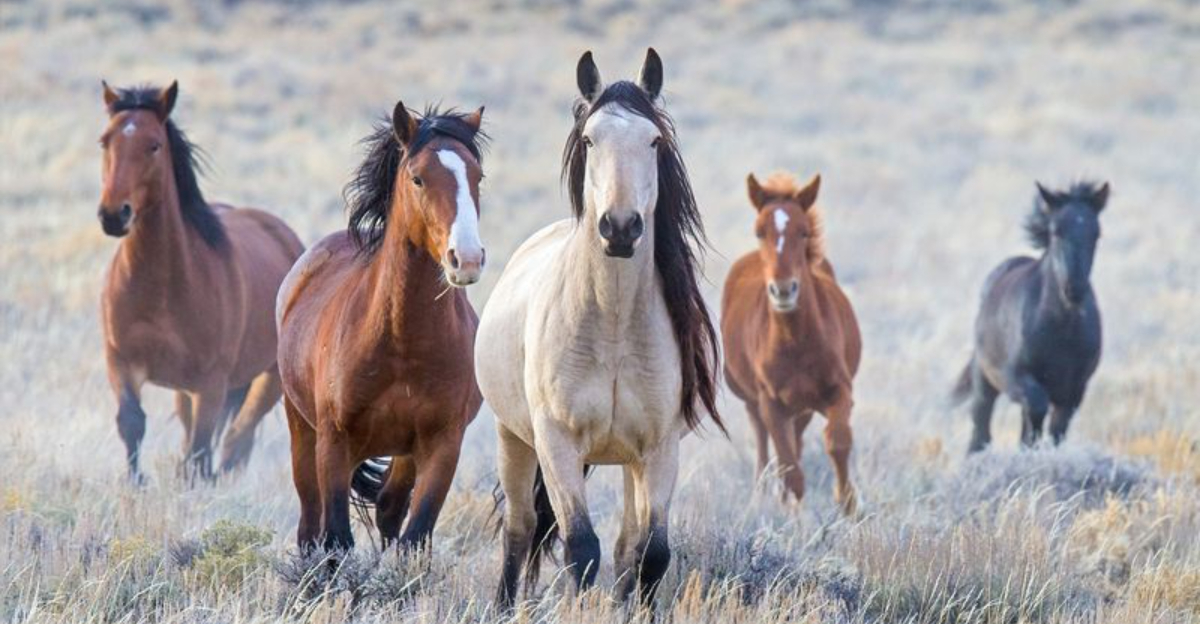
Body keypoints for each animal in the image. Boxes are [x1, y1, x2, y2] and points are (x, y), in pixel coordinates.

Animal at [97, 81, 304, 482]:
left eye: (154, 145)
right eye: (105, 141)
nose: (114, 215)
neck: (161, 288)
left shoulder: (211, 384)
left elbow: (200, 451)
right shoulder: (121, 361)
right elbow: (132, 422)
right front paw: (136, 483)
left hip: (268, 379)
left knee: (237, 438)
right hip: (186, 389)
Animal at [276, 101, 487, 553]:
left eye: (477, 176)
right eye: (418, 177)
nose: (466, 258)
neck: (402, 342)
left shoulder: (441, 446)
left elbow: (414, 536)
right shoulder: (334, 442)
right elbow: (337, 538)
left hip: (403, 455)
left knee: (390, 510)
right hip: (302, 430)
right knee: (310, 521)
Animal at [475, 49, 722, 608]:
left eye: (654, 140)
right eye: (590, 139)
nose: (621, 227)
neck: (611, 326)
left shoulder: (659, 449)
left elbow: (650, 554)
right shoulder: (557, 443)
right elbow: (580, 547)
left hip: (629, 463)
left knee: (628, 544)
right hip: (512, 439)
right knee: (520, 529)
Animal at [721, 173, 861, 515]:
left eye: (804, 231)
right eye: (759, 231)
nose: (784, 290)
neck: (796, 342)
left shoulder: (839, 390)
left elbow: (838, 441)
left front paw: (848, 504)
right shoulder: (771, 403)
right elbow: (788, 467)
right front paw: (796, 516)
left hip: (803, 406)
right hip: (754, 399)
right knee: (762, 438)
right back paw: (762, 491)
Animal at [953, 181, 1109, 453]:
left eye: (1096, 234)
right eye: (1056, 231)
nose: (1074, 288)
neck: (1062, 332)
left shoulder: (1074, 391)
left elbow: (1056, 432)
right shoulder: (1016, 378)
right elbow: (1036, 412)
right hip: (984, 382)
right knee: (980, 431)